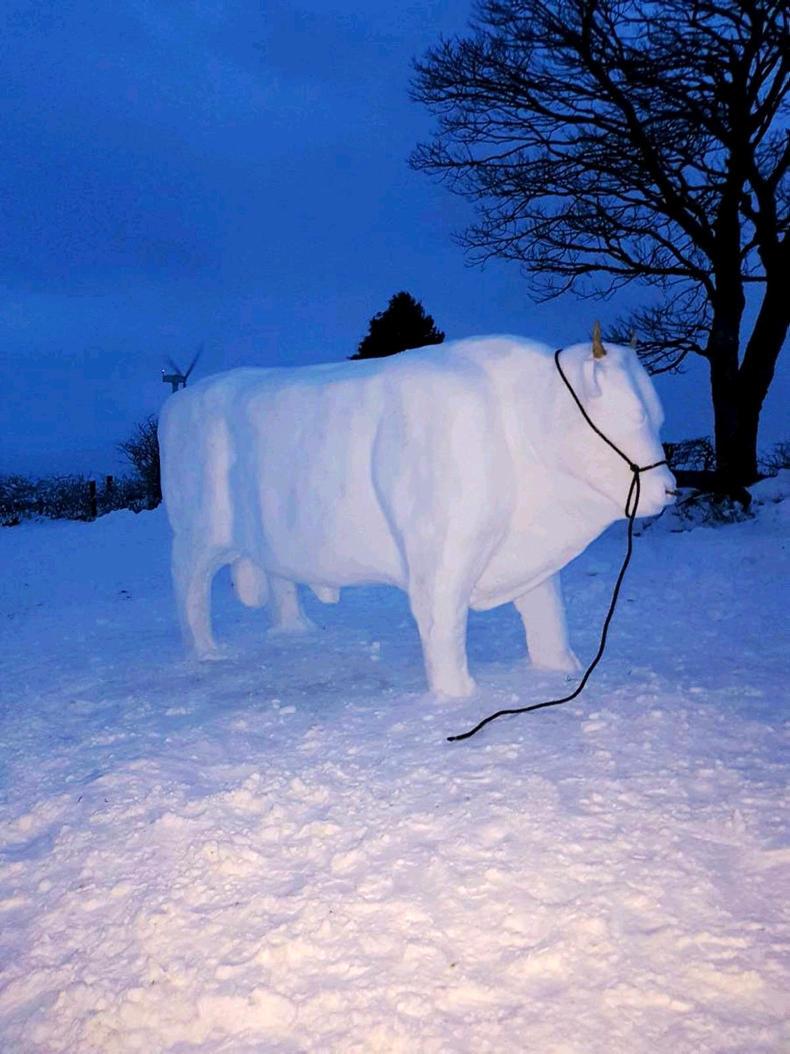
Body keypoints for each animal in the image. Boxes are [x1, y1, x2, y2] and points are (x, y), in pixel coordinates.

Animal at [158, 330, 676, 697]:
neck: (521, 420)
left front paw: (560, 667)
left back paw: (296, 631)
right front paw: (457, 696)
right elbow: (441, 624)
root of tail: (178, 402)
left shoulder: (529, 553)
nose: (669, 489)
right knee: (188, 586)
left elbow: (546, 612)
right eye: (634, 416)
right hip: (196, 536)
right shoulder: (443, 557)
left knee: (280, 584)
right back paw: (205, 653)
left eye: (657, 415)